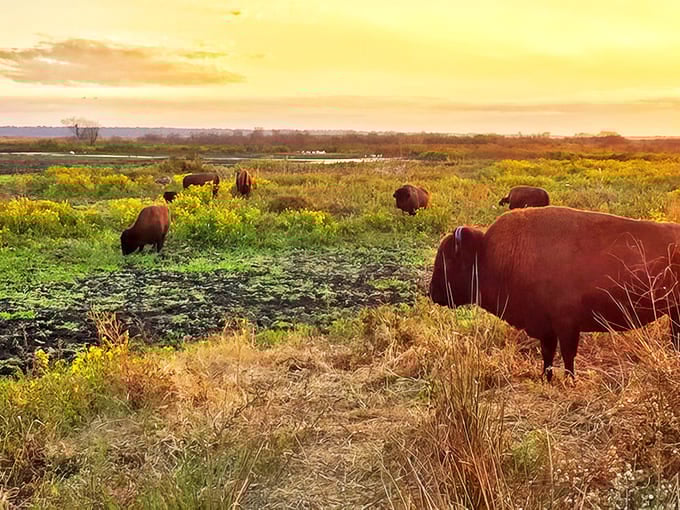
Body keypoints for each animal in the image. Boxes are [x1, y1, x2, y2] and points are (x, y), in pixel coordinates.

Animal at [429, 206, 680, 380]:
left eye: (448, 259)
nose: (432, 293)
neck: (486, 255)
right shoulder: (546, 326)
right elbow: (548, 353)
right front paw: (546, 377)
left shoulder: (566, 325)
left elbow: (567, 355)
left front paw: (569, 380)